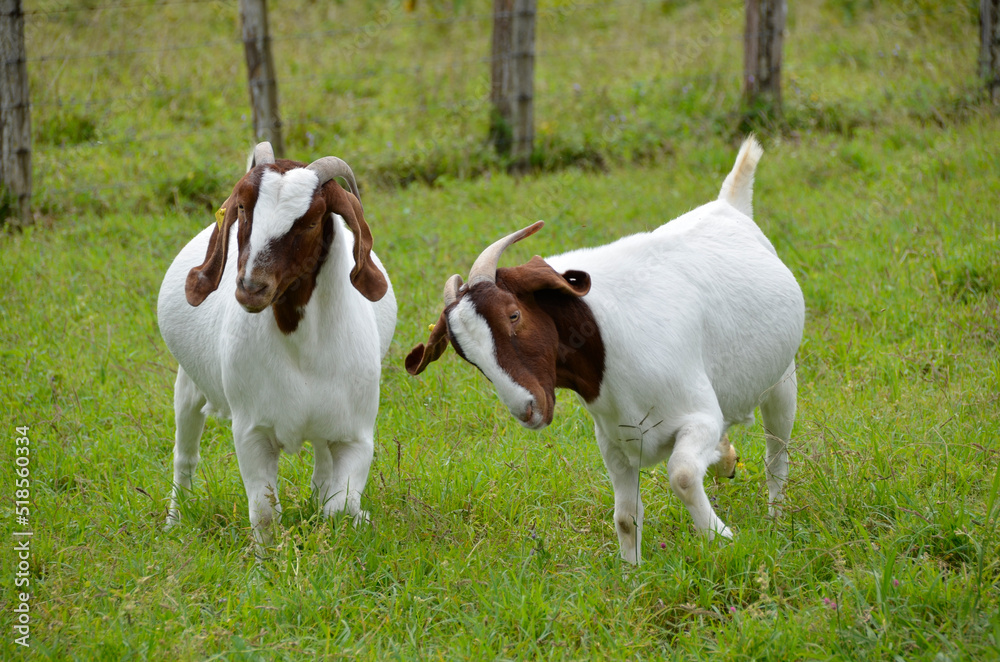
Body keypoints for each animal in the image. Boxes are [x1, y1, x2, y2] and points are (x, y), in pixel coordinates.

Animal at [157, 142, 396, 546]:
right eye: (242, 208)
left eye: (312, 220)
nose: (251, 287)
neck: (302, 352)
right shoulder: (251, 431)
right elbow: (266, 515)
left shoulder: (356, 435)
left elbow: (340, 505)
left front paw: (345, 523)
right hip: (188, 385)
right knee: (184, 456)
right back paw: (174, 522)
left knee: (322, 464)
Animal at [406, 137, 803, 564]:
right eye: (468, 357)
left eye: (513, 314)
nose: (527, 410)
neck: (606, 348)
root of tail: (729, 204)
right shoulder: (614, 441)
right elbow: (626, 517)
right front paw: (633, 571)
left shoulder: (699, 415)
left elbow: (681, 474)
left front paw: (722, 537)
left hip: (783, 382)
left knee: (776, 457)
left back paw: (776, 519)